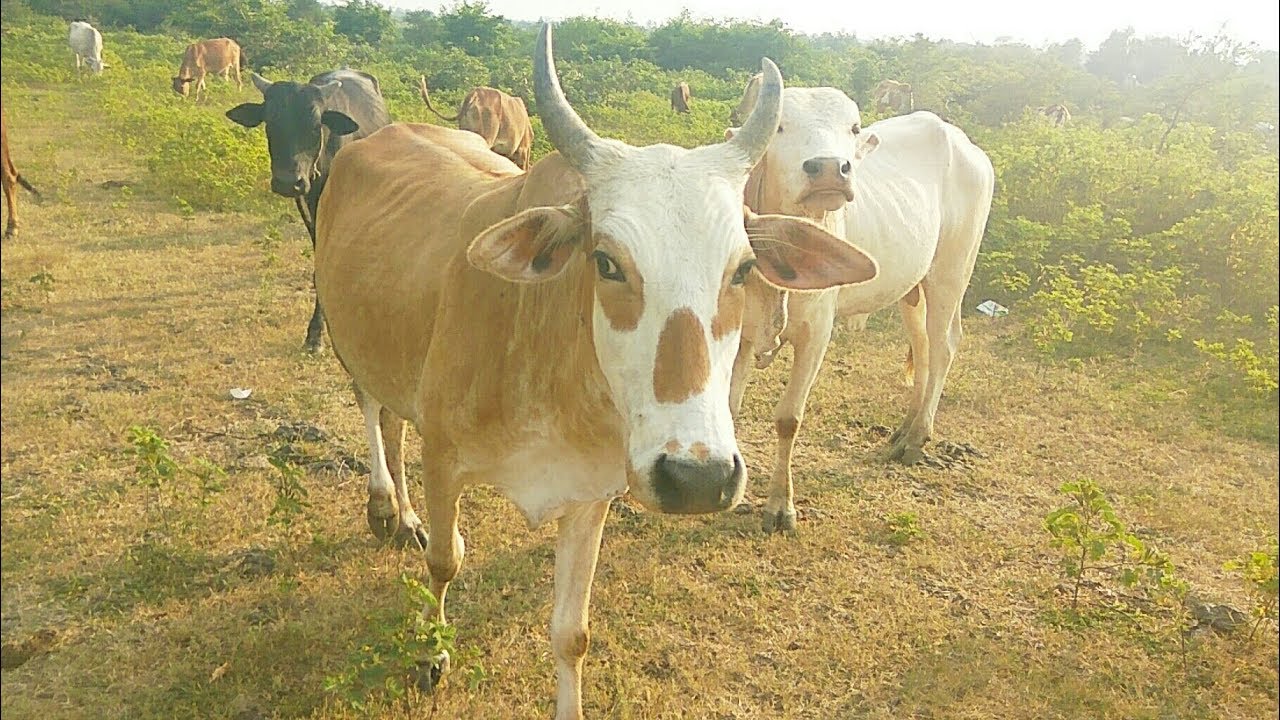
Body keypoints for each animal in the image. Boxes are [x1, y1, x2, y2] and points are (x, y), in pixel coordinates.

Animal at [313, 24, 878, 719]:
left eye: (744, 268)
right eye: (606, 261)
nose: (698, 478)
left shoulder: (591, 495)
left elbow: (571, 633)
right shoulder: (443, 457)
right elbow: (447, 562)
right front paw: (430, 652)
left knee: (393, 418)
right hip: (346, 334)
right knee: (372, 410)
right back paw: (387, 507)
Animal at [727, 87, 995, 533]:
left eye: (852, 128)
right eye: (779, 124)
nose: (829, 169)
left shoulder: (817, 332)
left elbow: (788, 418)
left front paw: (780, 506)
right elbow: (729, 409)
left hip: (951, 273)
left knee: (944, 345)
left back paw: (918, 437)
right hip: (912, 288)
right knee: (922, 346)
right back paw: (904, 429)